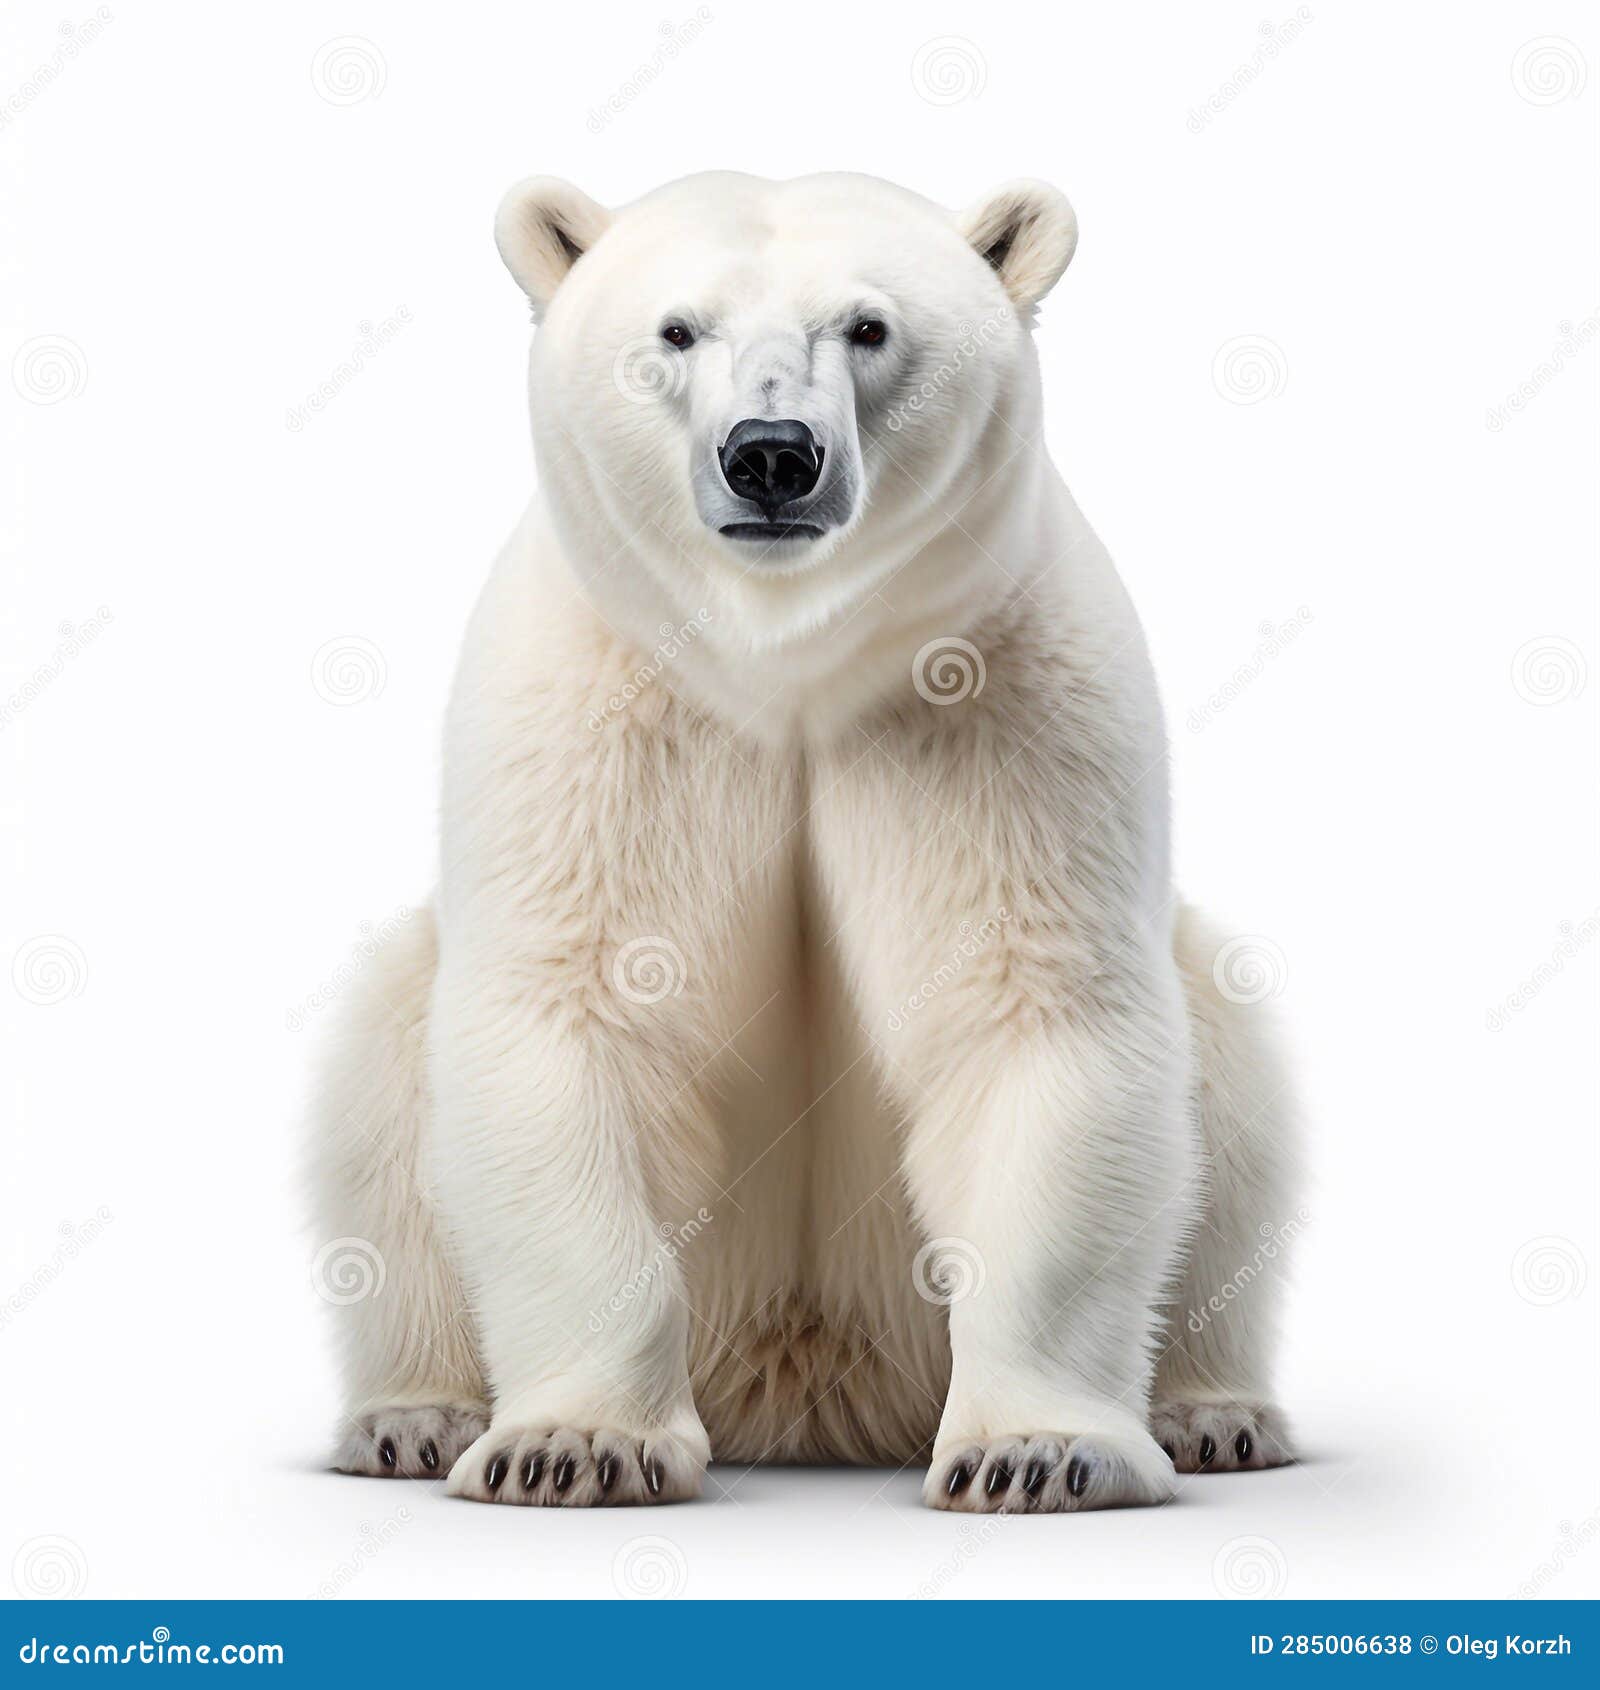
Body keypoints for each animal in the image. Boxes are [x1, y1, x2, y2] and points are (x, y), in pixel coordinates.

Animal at [310, 171, 1298, 1512]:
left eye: (869, 327)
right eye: (678, 331)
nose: (771, 455)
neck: (785, 663)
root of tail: (808, 1396)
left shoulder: (991, 699)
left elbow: (1034, 1012)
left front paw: (1039, 1451)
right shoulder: (606, 704)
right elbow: (578, 1009)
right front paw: (573, 1445)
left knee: (1233, 1093)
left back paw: (1212, 1411)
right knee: (379, 1081)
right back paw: (414, 1414)